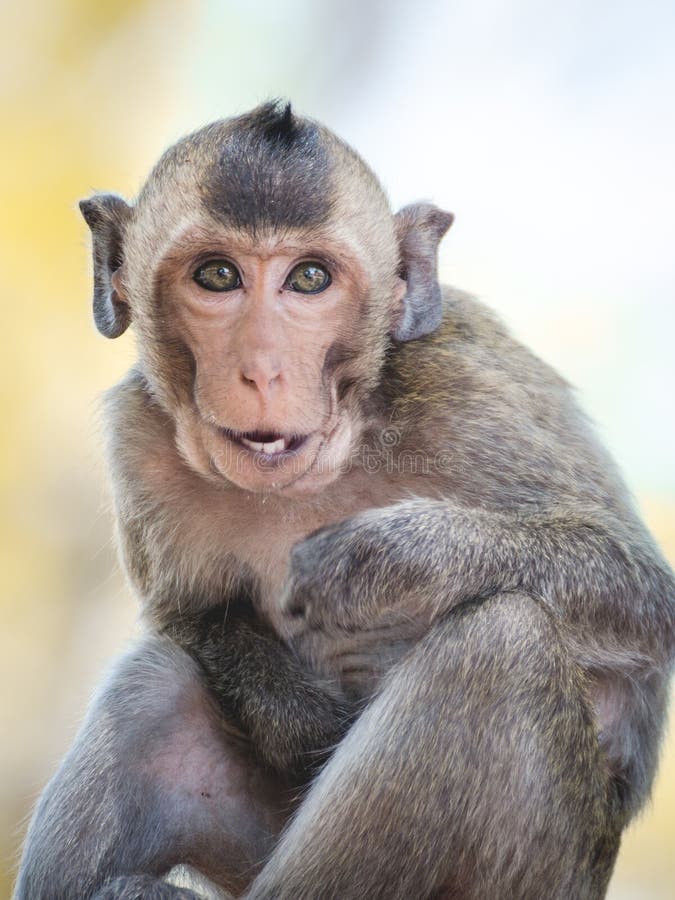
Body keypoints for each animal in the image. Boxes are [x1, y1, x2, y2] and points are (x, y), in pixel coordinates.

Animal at [13, 101, 675, 900]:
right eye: (217, 275)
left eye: (309, 279)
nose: (262, 369)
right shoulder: (136, 441)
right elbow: (194, 616)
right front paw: (304, 724)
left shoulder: (463, 391)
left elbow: (640, 589)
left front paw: (384, 563)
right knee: (159, 678)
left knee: (501, 640)